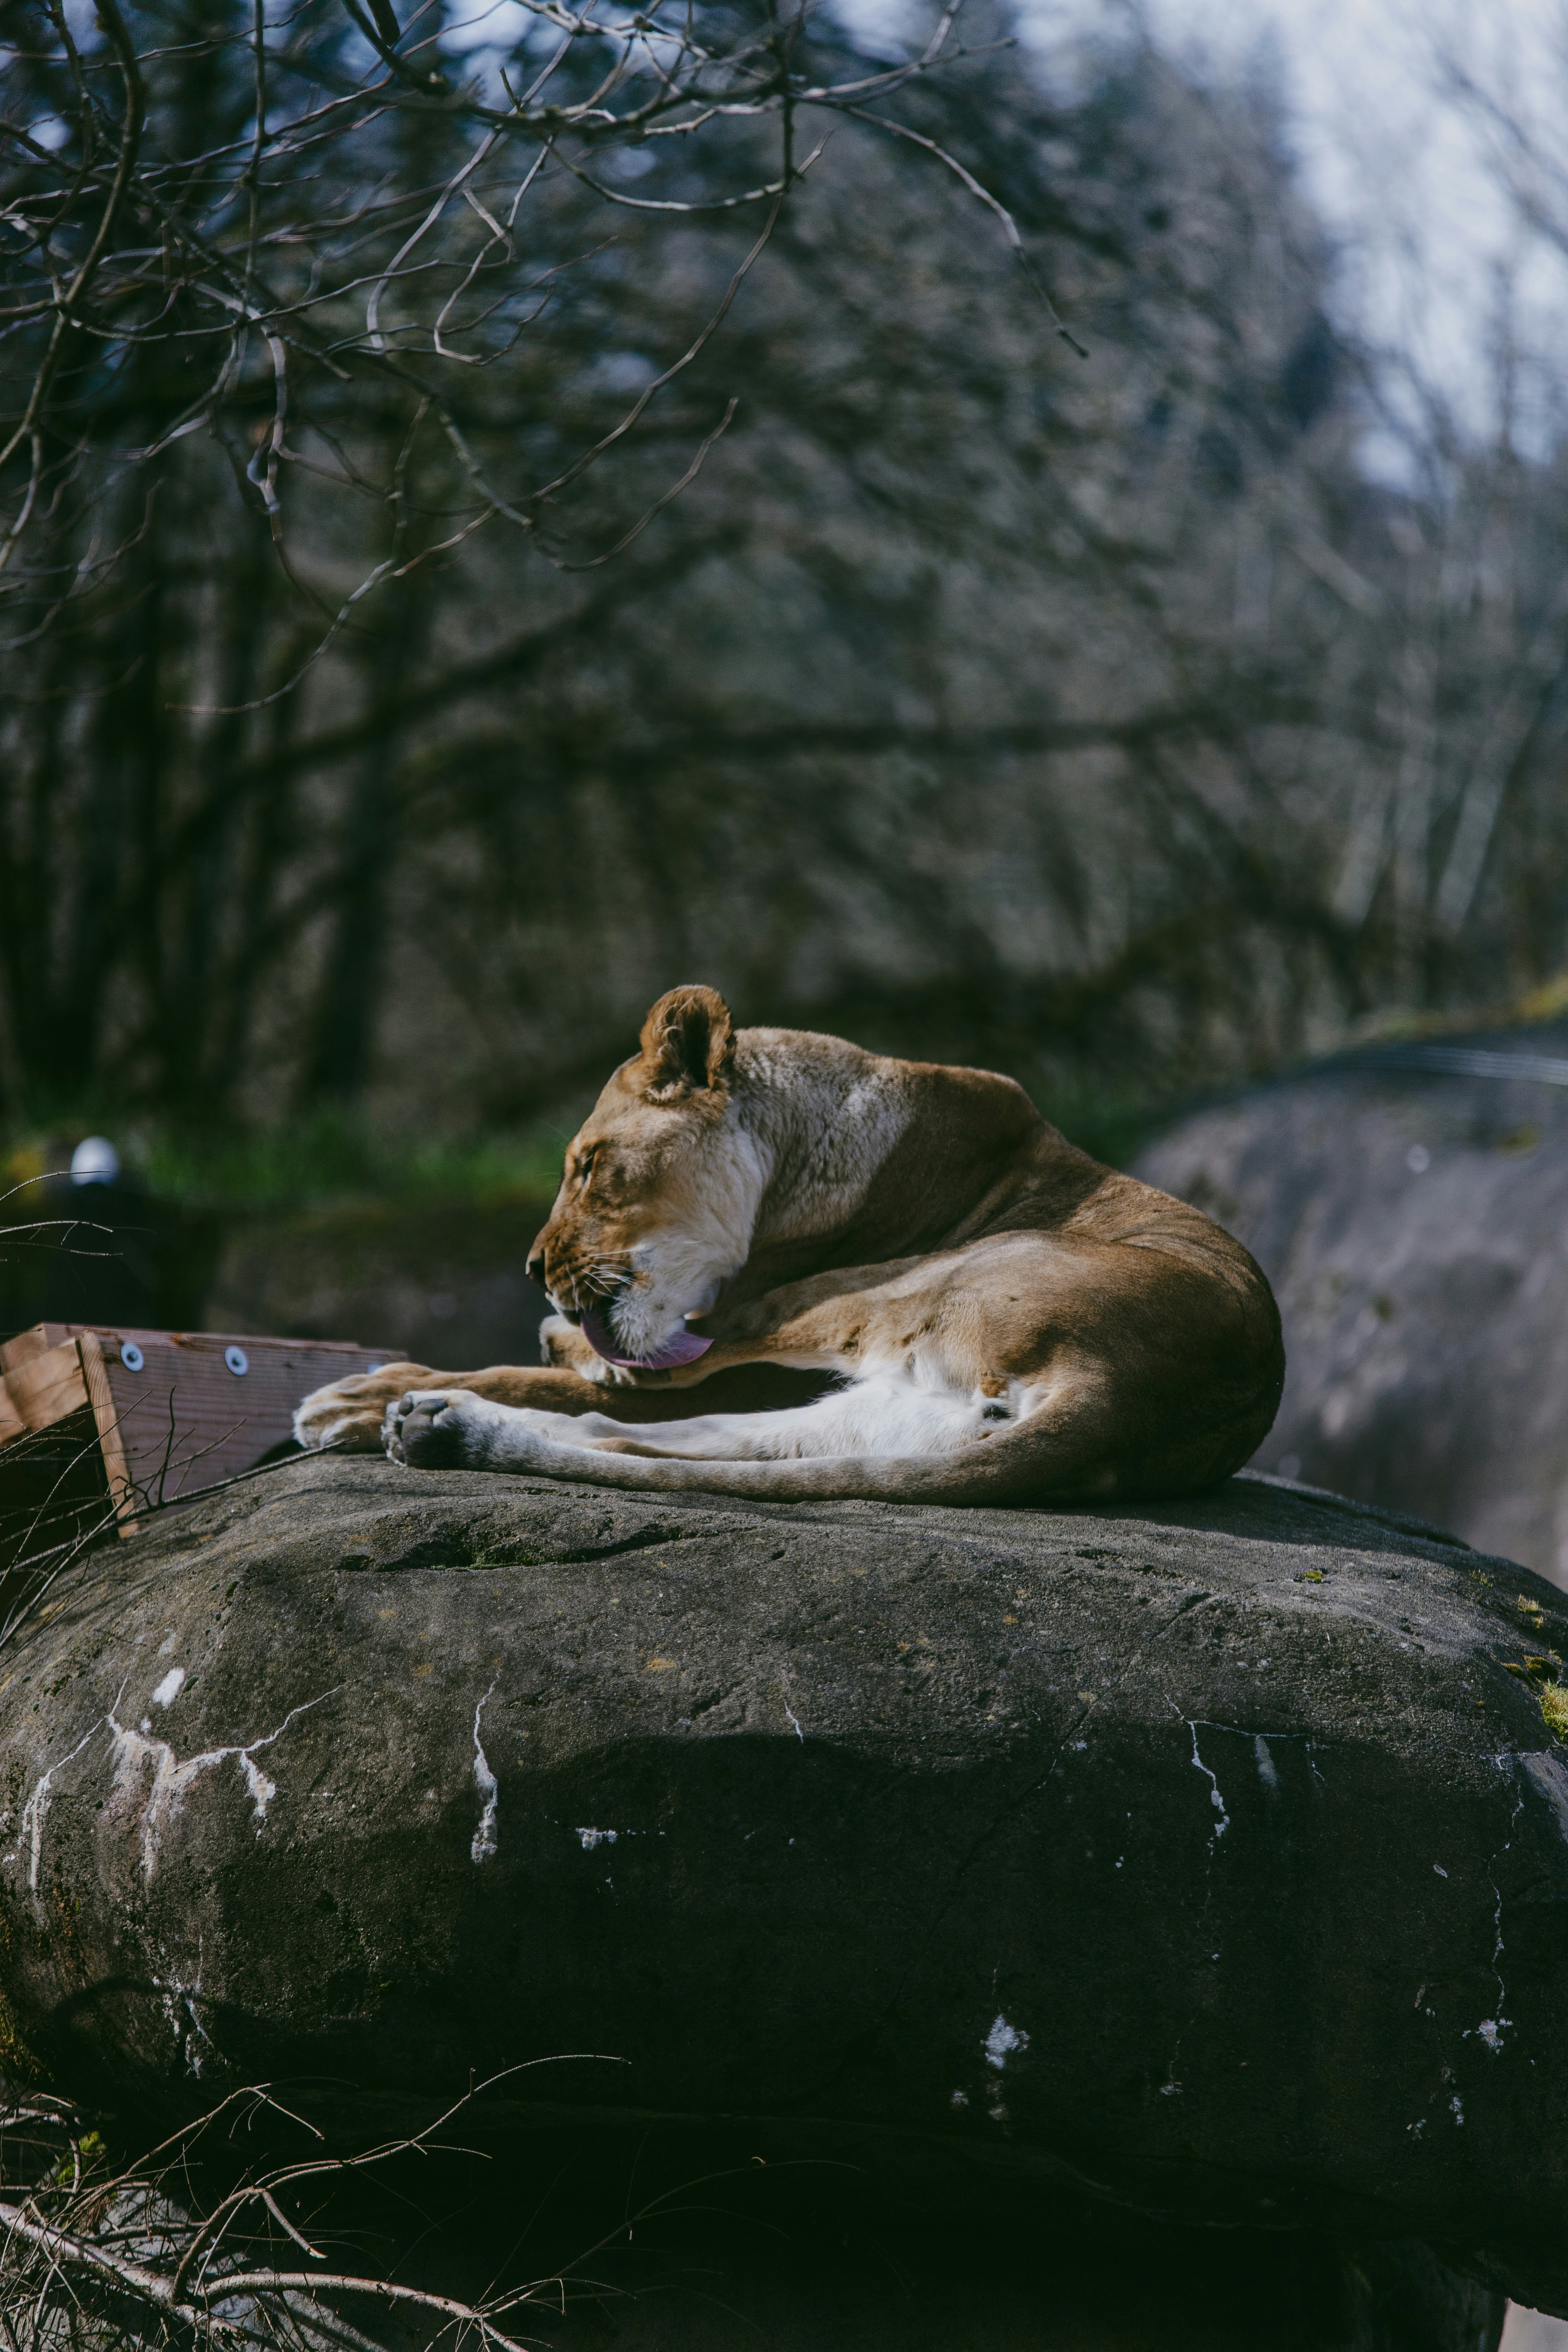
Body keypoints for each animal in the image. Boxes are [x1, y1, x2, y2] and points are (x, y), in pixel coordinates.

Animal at [294, 985, 1284, 1504]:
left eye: (590, 1165)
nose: (532, 1270)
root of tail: (1126, 1398)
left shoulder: (764, 1326)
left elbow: (612, 1366)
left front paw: (357, 1395)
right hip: (891, 1413)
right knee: (651, 1440)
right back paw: (438, 1426)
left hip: (880, 1294)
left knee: (654, 1391)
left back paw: (429, 1408)